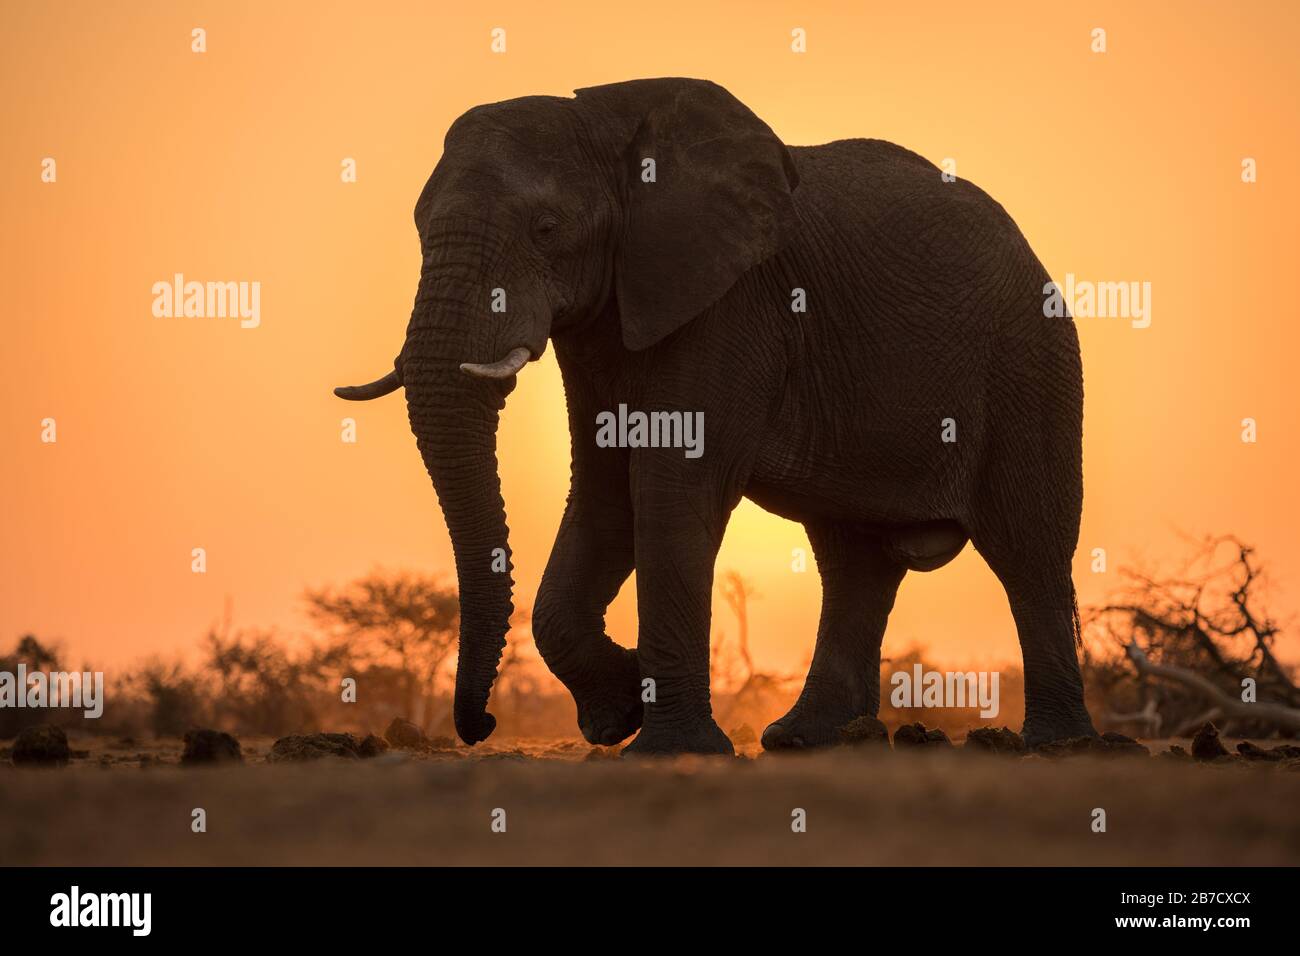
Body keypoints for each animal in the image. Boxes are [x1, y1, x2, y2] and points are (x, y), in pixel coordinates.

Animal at [335, 77, 1097, 756]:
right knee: (853, 559)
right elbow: (605, 491)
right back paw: (805, 739)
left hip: (1030, 365)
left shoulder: (732, 305)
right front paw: (618, 708)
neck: (610, 126)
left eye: (546, 228)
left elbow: (670, 485)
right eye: (417, 229)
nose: (483, 725)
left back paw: (1058, 744)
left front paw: (666, 744)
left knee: (1028, 544)